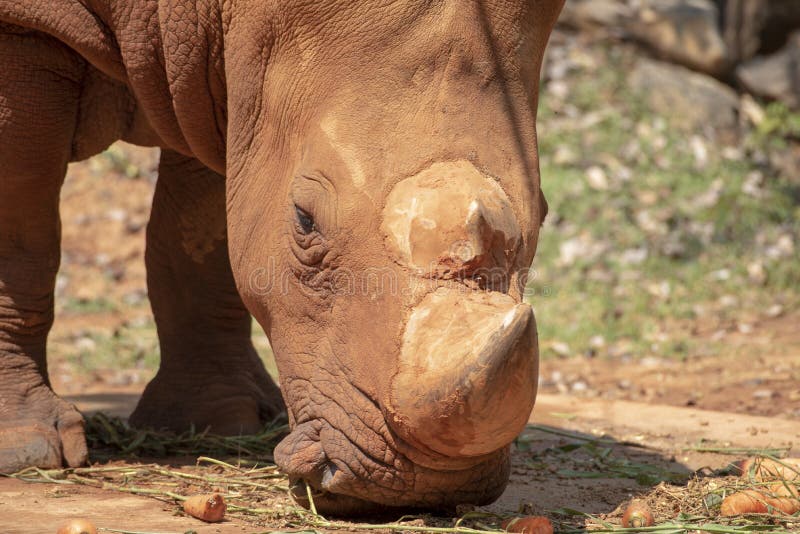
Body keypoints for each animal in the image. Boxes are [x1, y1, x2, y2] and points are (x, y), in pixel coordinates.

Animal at [0, 0, 563, 514]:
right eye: (304, 220)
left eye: (545, 212)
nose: (423, 486)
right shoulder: (23, 25)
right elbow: (23, 243)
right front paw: (25, 451)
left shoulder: (225, 80)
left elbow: (200, 242)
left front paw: (220, 423)